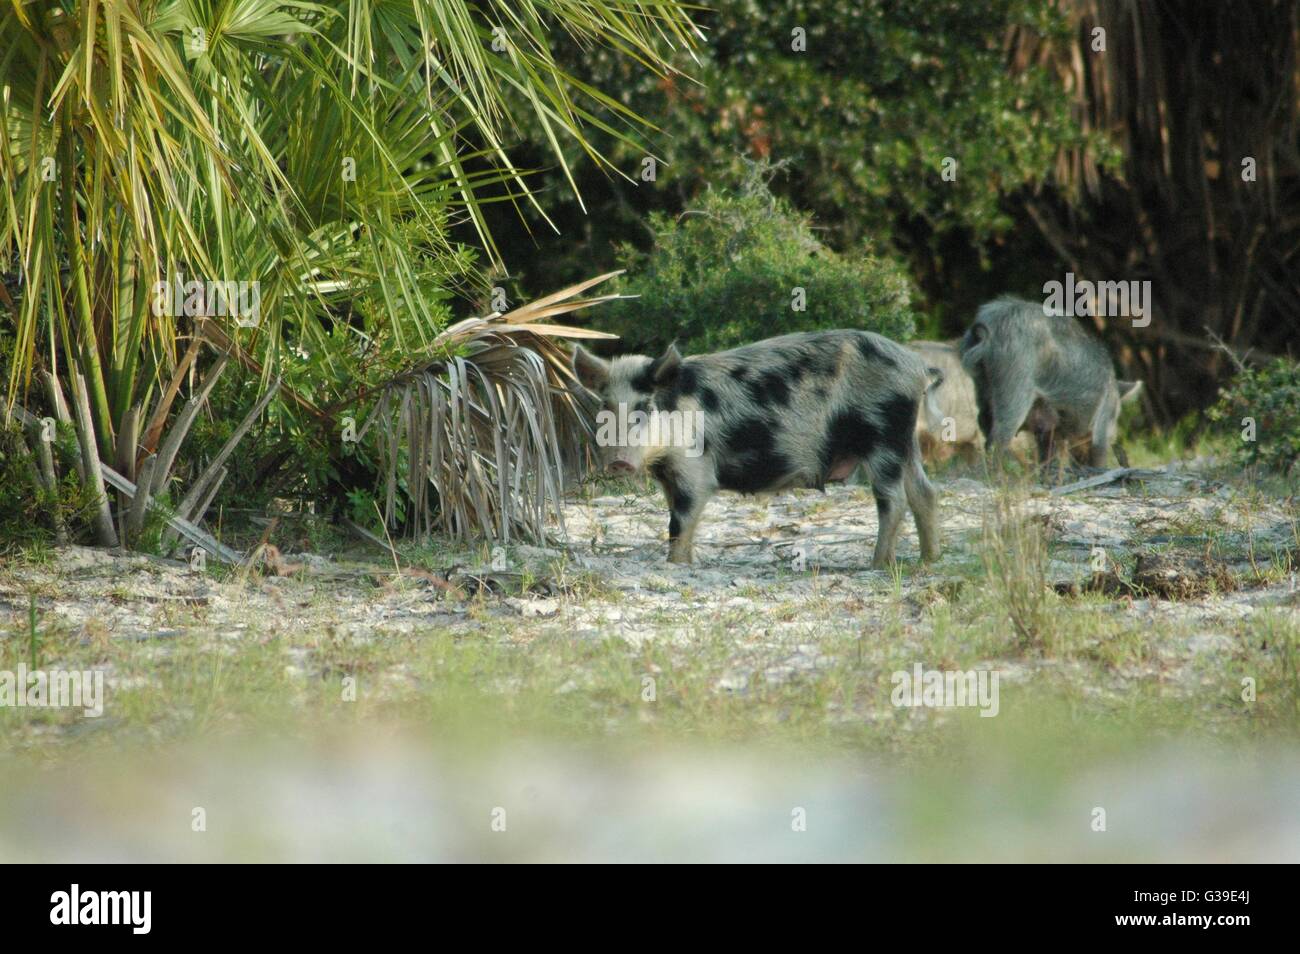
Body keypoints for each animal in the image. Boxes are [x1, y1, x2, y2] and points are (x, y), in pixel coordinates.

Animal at [571, 331, 941, 569]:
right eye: (605, 406)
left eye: (643, 407)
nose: (618, 462)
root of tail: (916, 366)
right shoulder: (668, 476)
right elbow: (677, 519)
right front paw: (684, 563)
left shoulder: (696, 469)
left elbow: (680, 521)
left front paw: (674, 566)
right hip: (905, 440)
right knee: (924, 492)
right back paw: (926, 561)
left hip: (883, 435)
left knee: (894, 500)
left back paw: (876, 565)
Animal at [959, 297, 1143, 468]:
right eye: (1115, 417)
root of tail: (988, 331)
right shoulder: (1102, 422)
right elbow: (1098, 448)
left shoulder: (1050, 429)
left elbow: (1048, 454)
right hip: (1015, 381)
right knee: (999, 435)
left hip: (982, 385)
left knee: (984, 425)